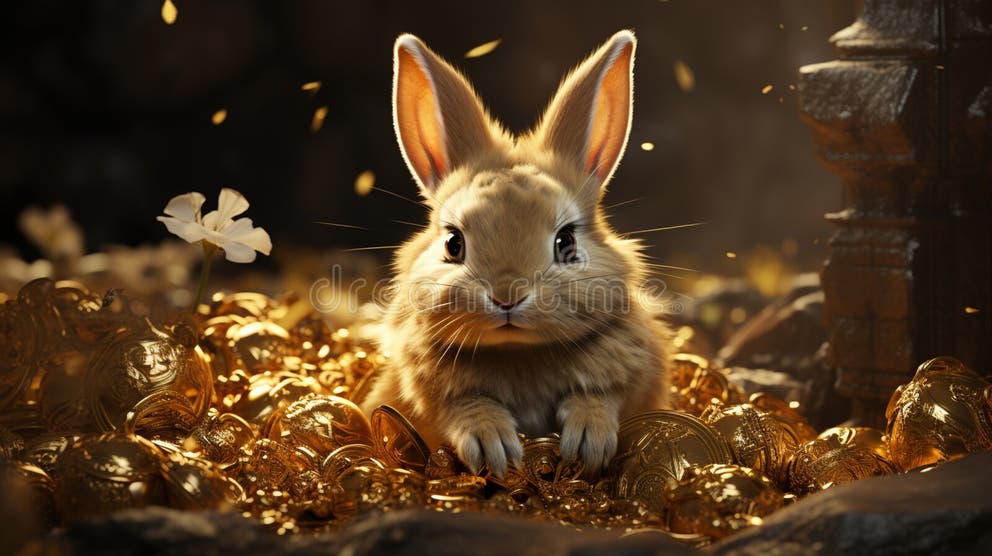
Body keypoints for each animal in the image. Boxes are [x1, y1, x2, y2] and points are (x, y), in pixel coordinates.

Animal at [361, 30, 671, 478]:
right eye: (453, 244)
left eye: (566, 242)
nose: (507, 296)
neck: (518, 351)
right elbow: (465, 406)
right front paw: (495, 448)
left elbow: (601, 397)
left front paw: (587, 443)